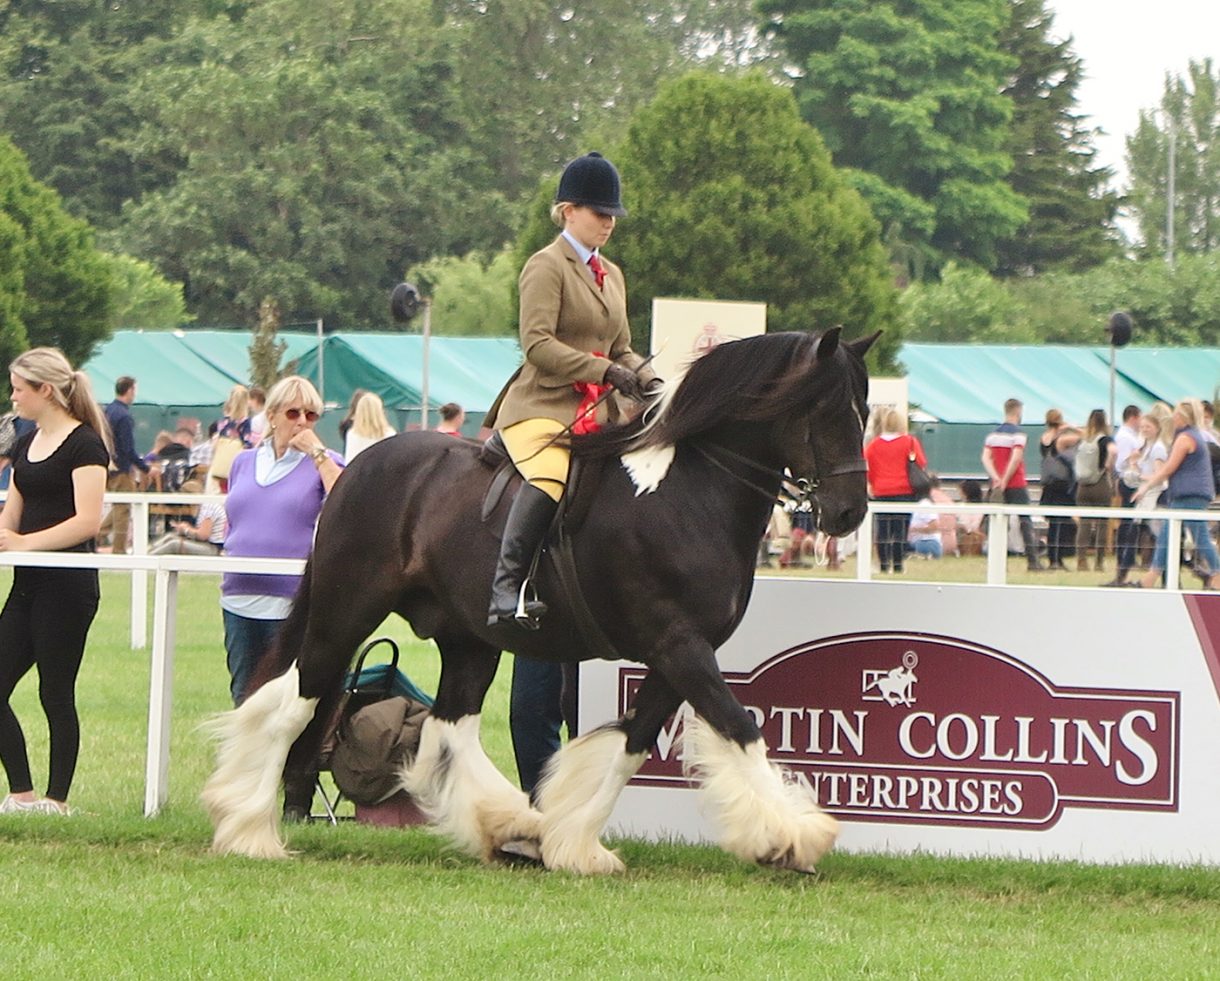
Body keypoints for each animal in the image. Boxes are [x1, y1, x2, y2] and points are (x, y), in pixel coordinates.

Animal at [202, 327, 876, 874]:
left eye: (864, 408)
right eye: (823, 409)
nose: (849, 514)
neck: (688, 494)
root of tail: (358, 467)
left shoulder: (677, 653)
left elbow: (631, 744)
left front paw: (574, 843)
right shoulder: (679, 645)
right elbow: (740, 727)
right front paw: (792, 836)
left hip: (468, 637)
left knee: (448, 728)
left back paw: (509, 825)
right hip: (345, 613)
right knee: (291, 707)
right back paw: (249, 831)